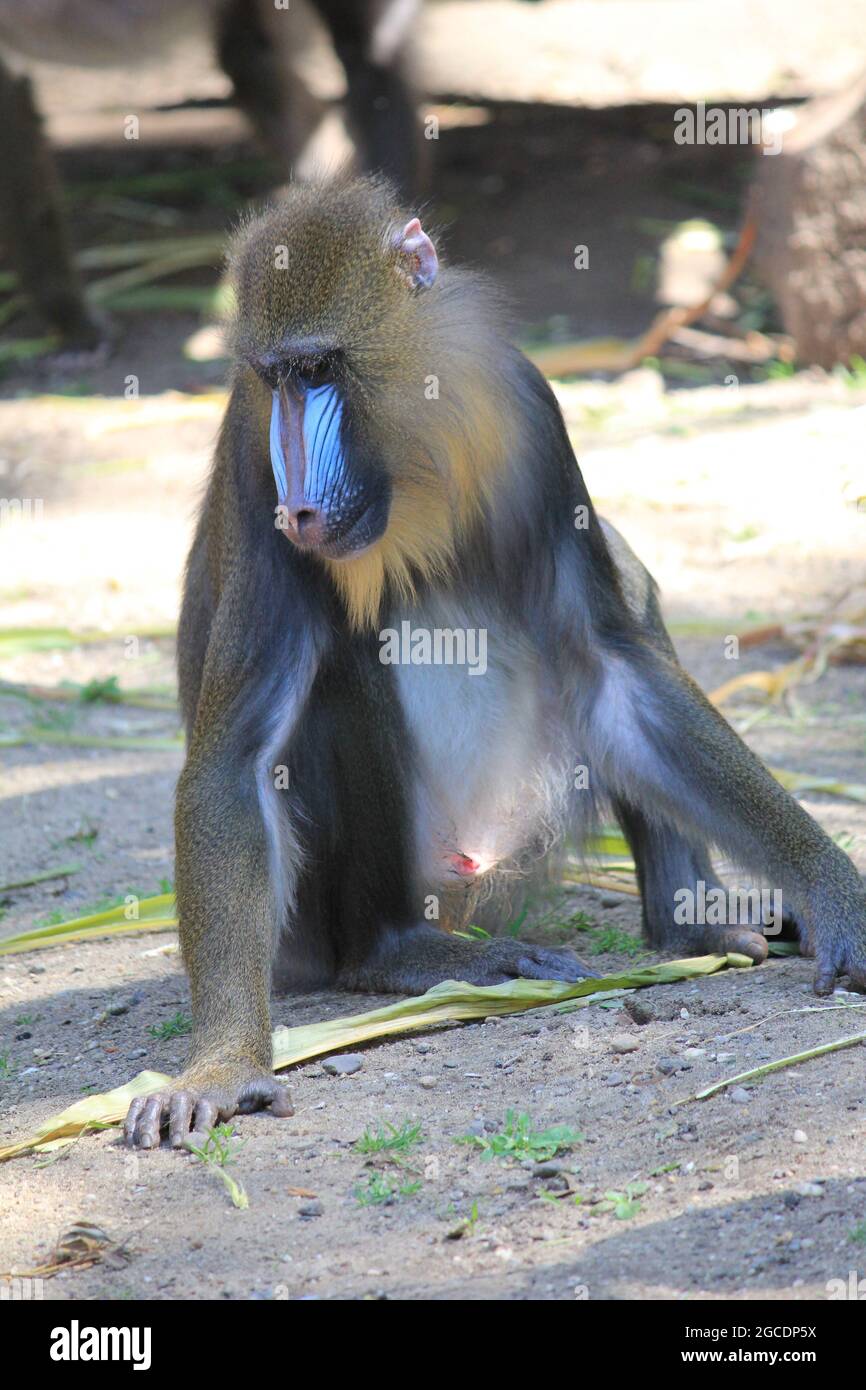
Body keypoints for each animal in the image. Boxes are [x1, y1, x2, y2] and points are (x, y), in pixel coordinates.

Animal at [124, 176, 866, 1149]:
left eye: (320, 369)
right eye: (276, 379)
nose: (305, 513)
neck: (411, 455)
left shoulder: (529, 413)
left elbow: (613, 667)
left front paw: (835, 891)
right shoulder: (258, 468)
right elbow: (234, 757)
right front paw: (220, 1069)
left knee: (627, 575)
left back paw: (687, 926)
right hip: (319, 917)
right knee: (340, 670)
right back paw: (401, 951)